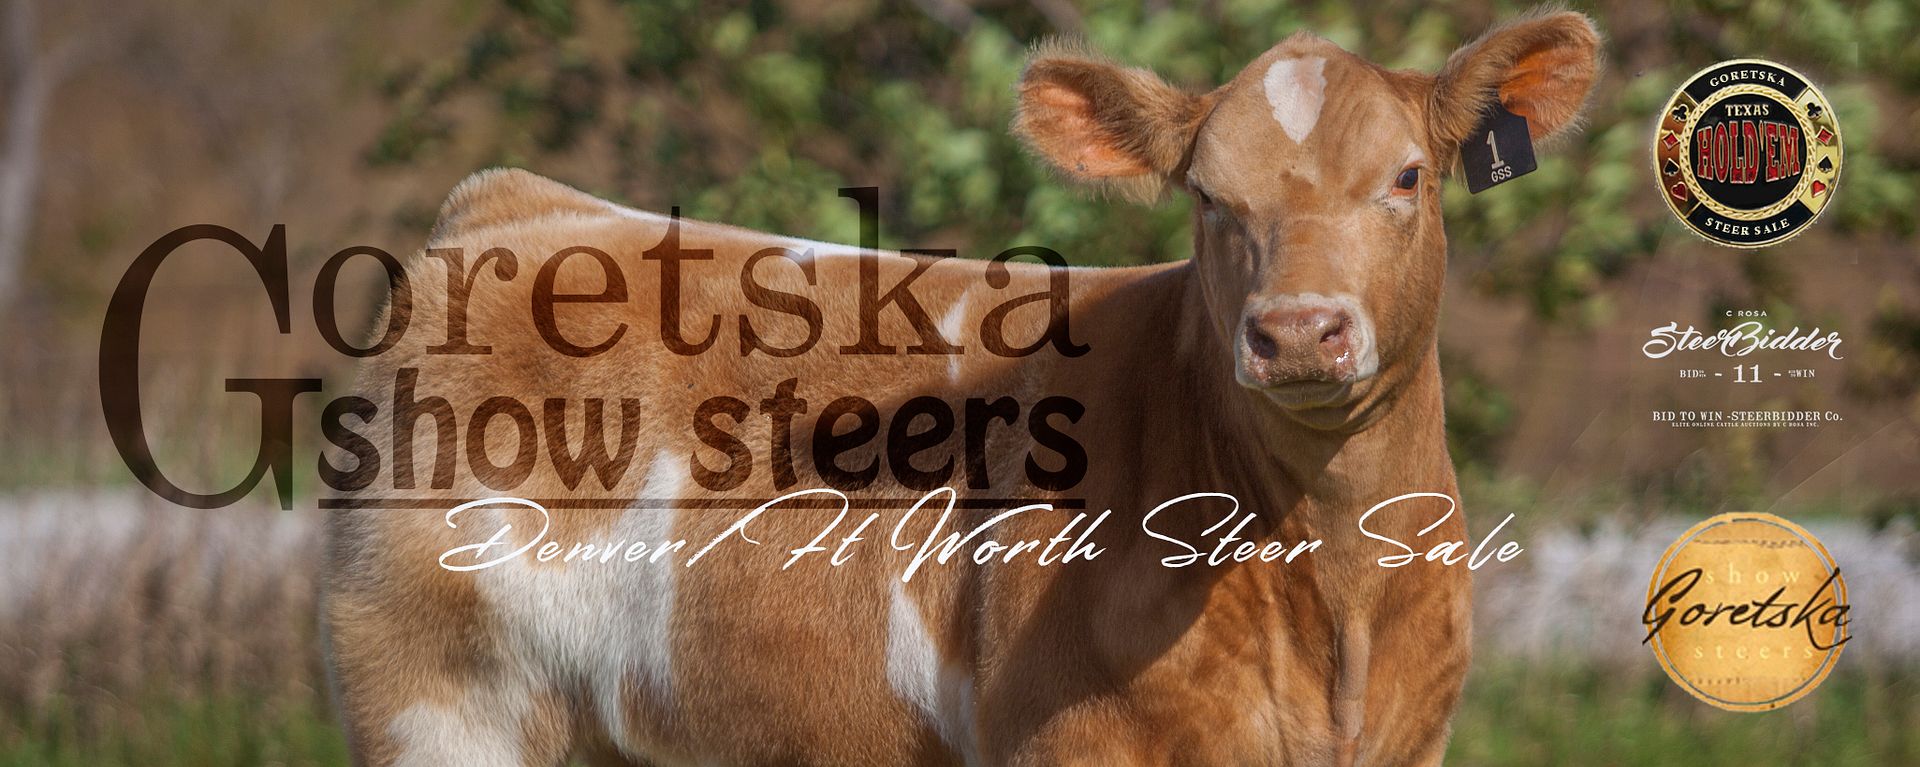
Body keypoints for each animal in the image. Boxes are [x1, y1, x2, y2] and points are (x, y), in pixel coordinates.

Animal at [321, 10, 1599, 766]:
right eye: (1206, 195)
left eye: (1409, 176)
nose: (1296, 331)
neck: (1332, 583)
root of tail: (515, 209)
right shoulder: (1081, 735)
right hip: (439, 703)